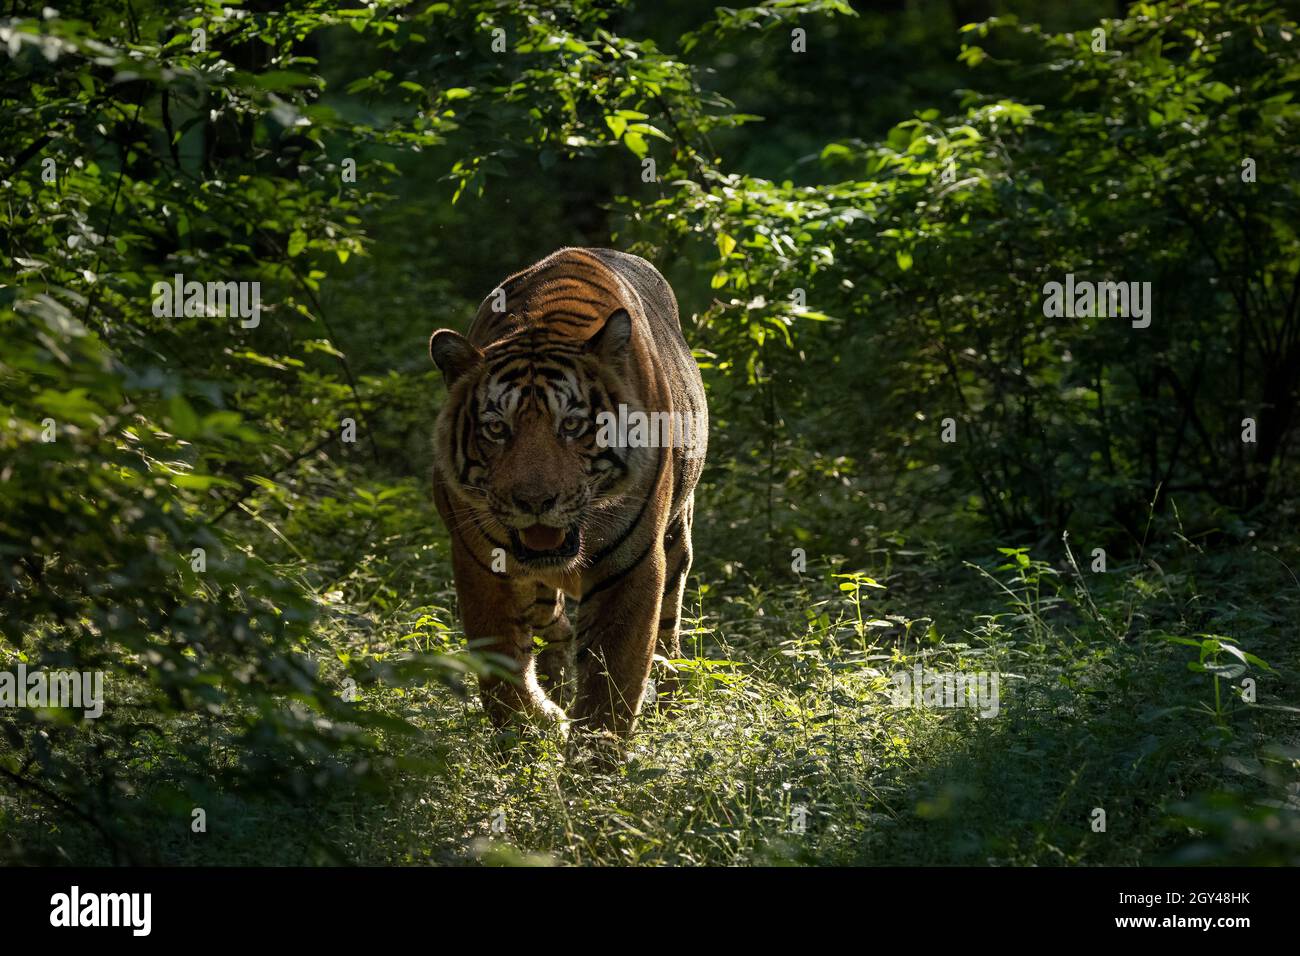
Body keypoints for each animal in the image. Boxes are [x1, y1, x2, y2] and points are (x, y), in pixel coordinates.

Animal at [428, 247, 707, 750]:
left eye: (573, 425)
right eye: (496, 429)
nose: (535, 501)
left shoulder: (632, 566)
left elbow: (609, 686)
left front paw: (592, 765)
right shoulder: (480, 565)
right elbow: (503, 679)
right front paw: (533, 733)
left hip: (678, 539)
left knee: (669, 623)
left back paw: (671, 695)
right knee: (552, 624)